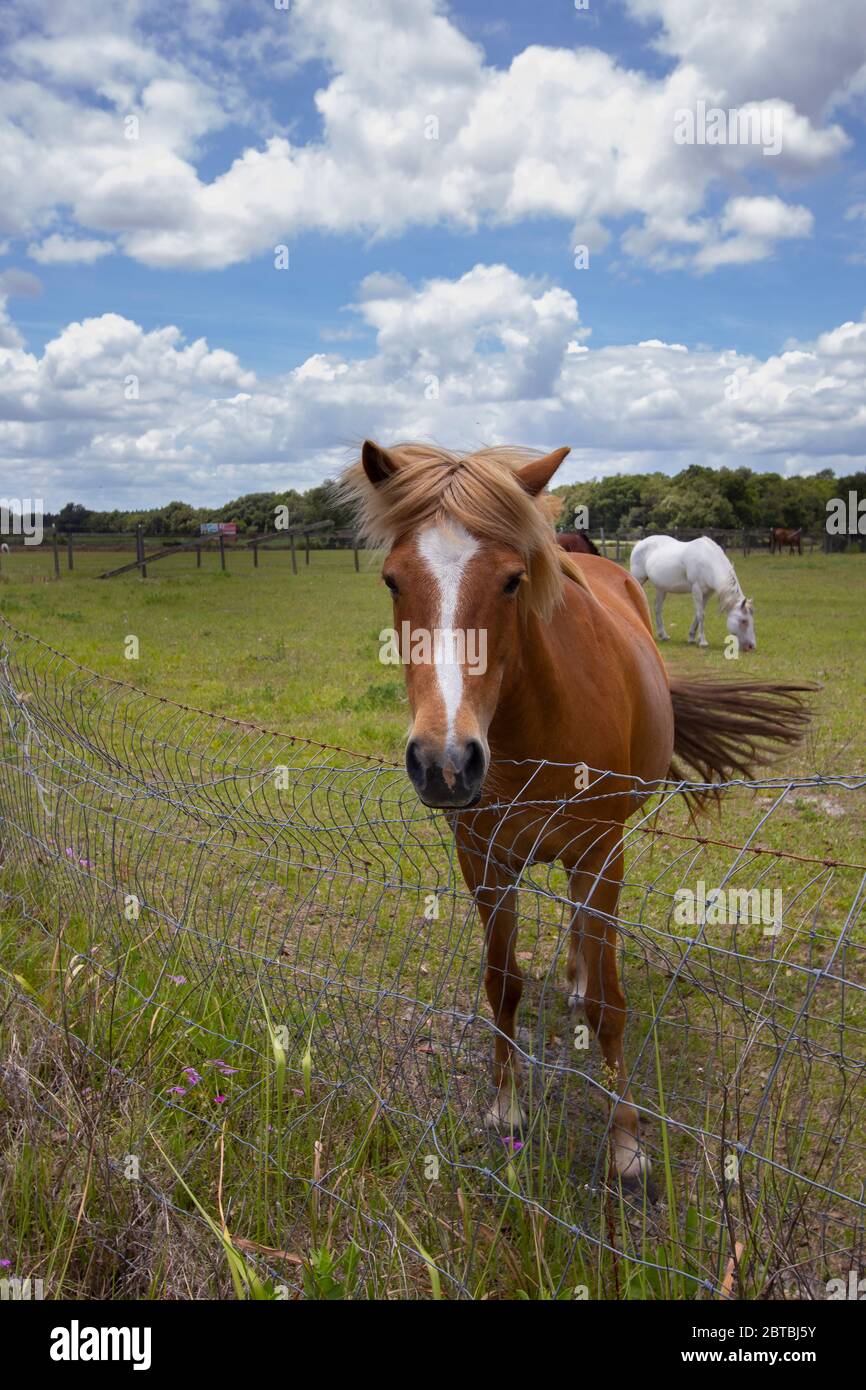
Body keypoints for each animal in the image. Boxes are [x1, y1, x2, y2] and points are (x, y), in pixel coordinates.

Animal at [340, 441, 810, 1193]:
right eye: (392, 579)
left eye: (511, 581)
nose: (445, 762)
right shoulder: (484, 861)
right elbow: (502, 985)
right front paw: (505, 1107)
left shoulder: (601, 854)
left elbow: (610, 1005)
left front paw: (627, 1144)